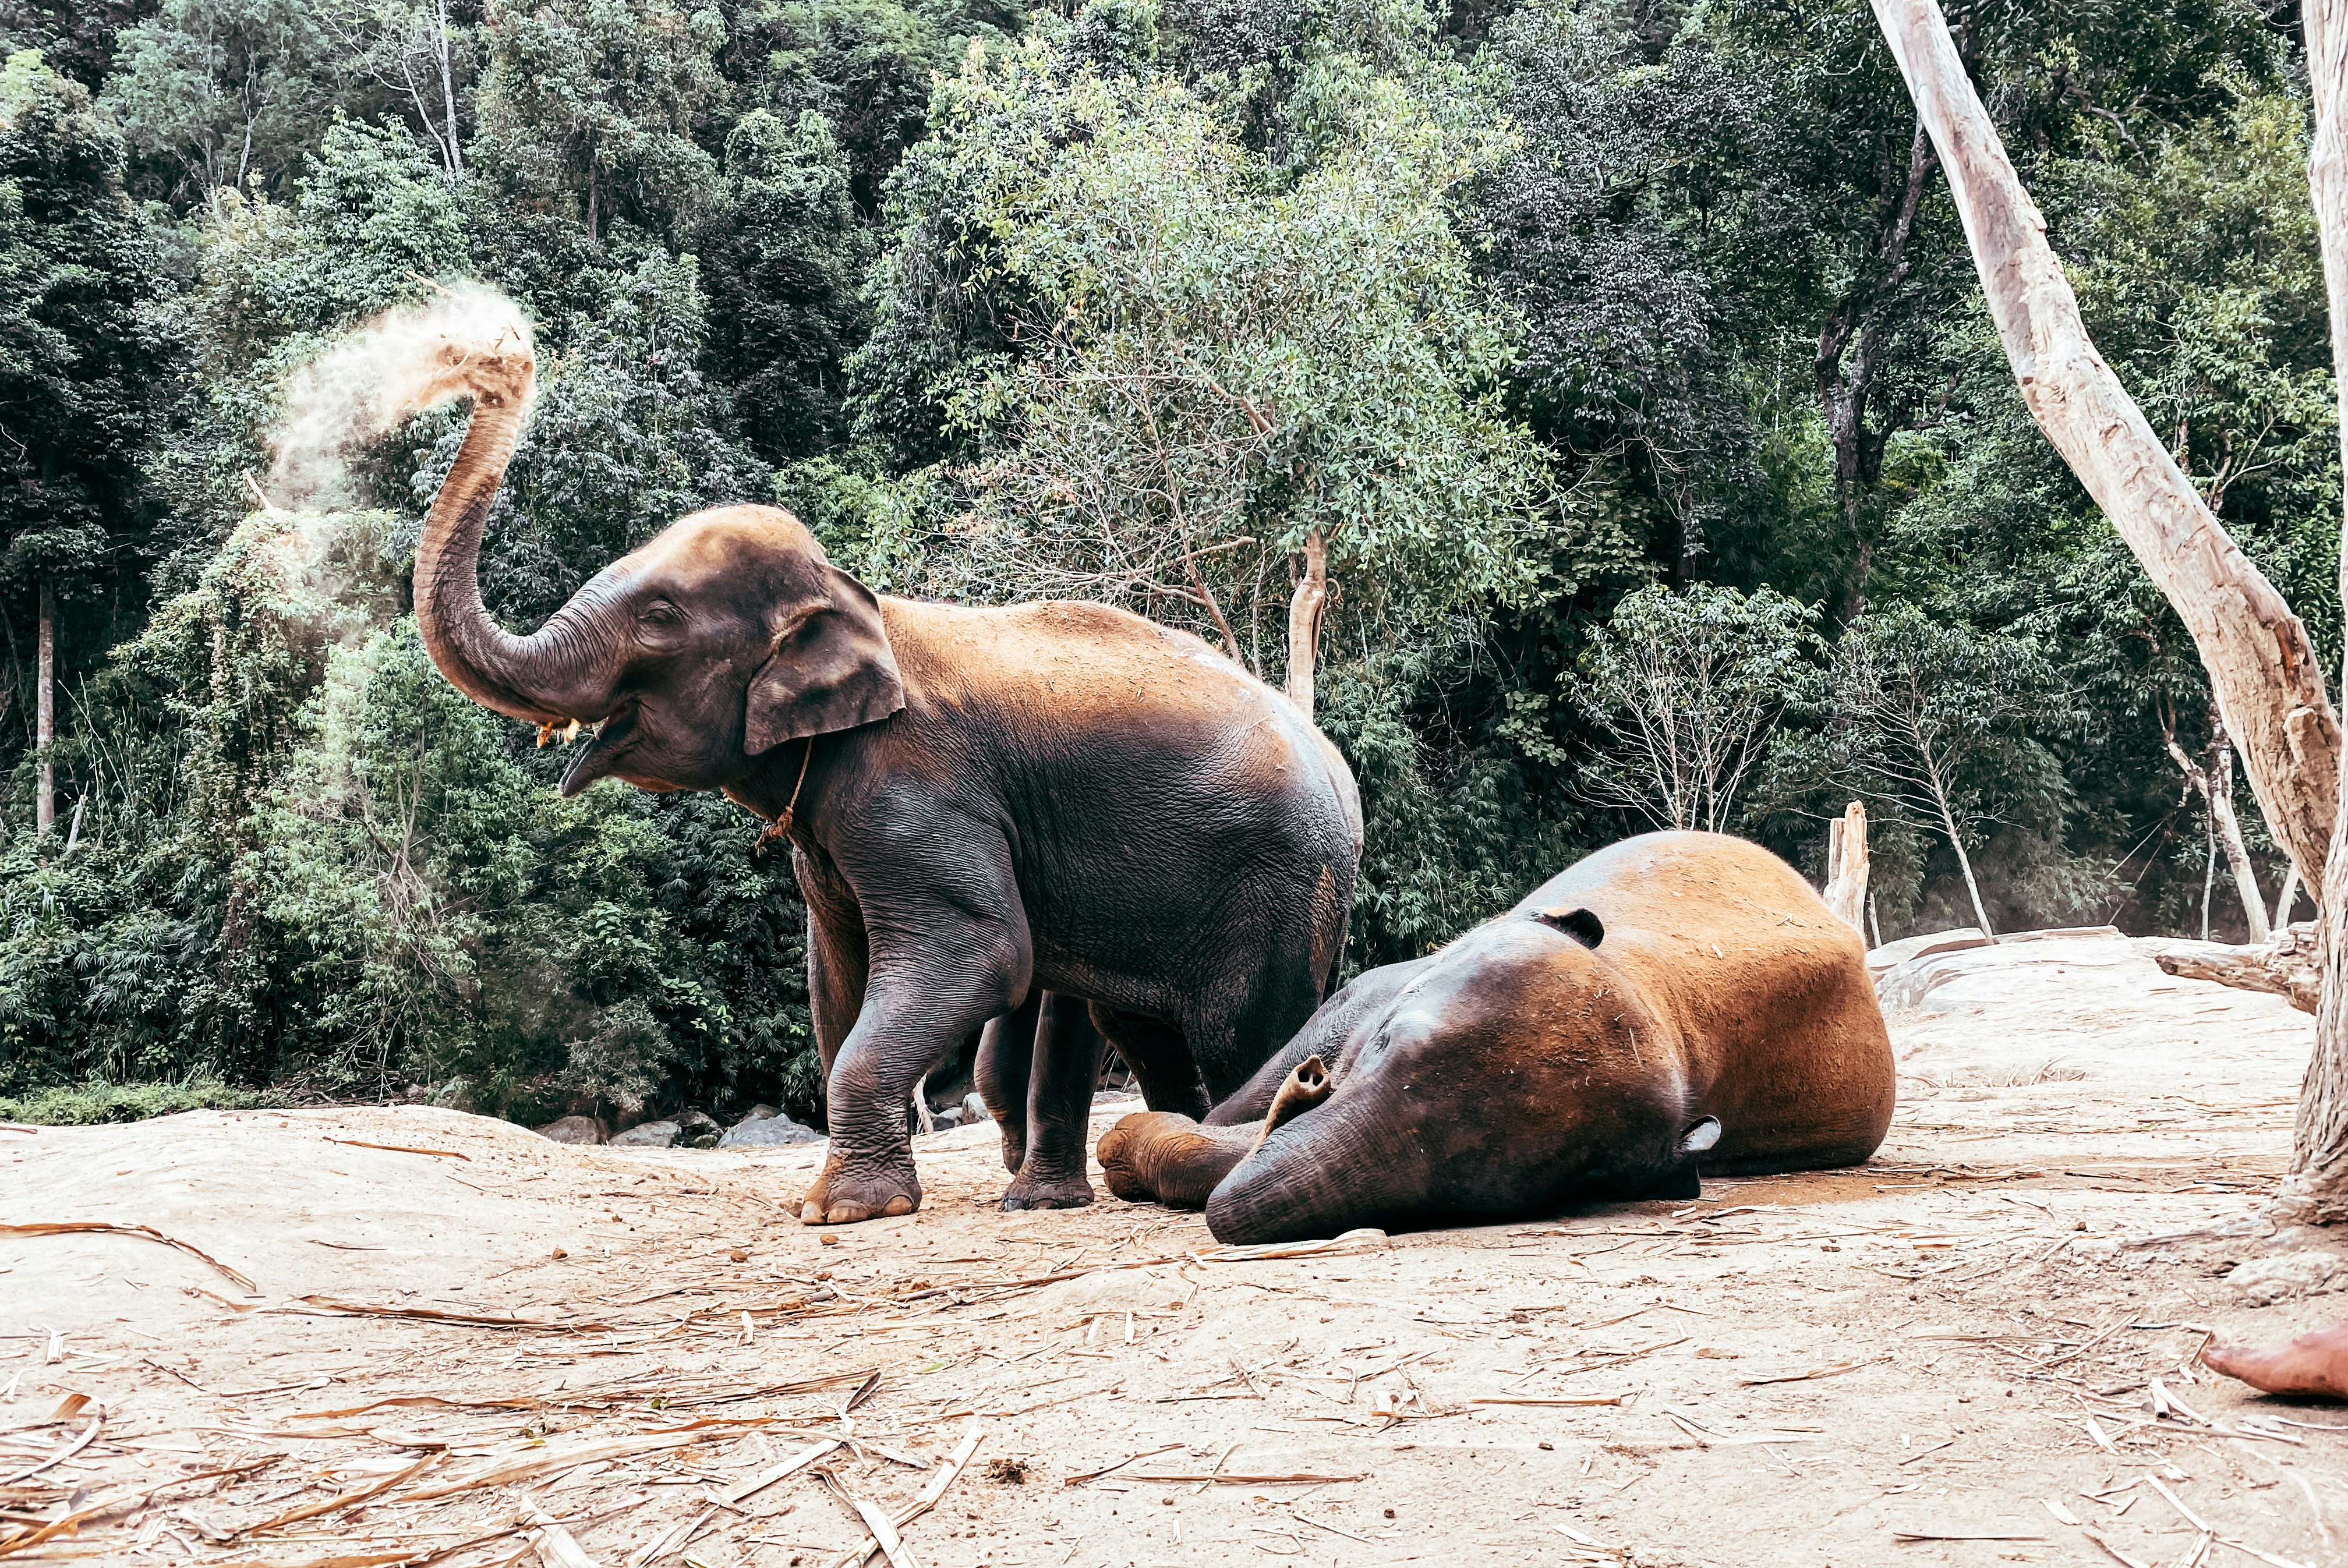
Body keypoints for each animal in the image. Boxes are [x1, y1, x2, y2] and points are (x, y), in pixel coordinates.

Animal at [403, 315, 1361, 1224]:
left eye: (660, 618)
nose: (495, 358)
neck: (856, 598)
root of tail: (1338, 770)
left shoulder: (916, 787)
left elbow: (982, 952)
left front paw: (844, 1209)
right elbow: (837, 978)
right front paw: (855, 1190)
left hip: (1284, 886)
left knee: (1246, 1029)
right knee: (1142, 1025)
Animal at [1096, 831, 1896, 1243]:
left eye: (1477, 1197)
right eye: (1385, 1044)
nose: (1312, 1086)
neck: (1657, 994)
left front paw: (1130, 1151)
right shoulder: (1372, 996)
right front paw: (1126, 1148)